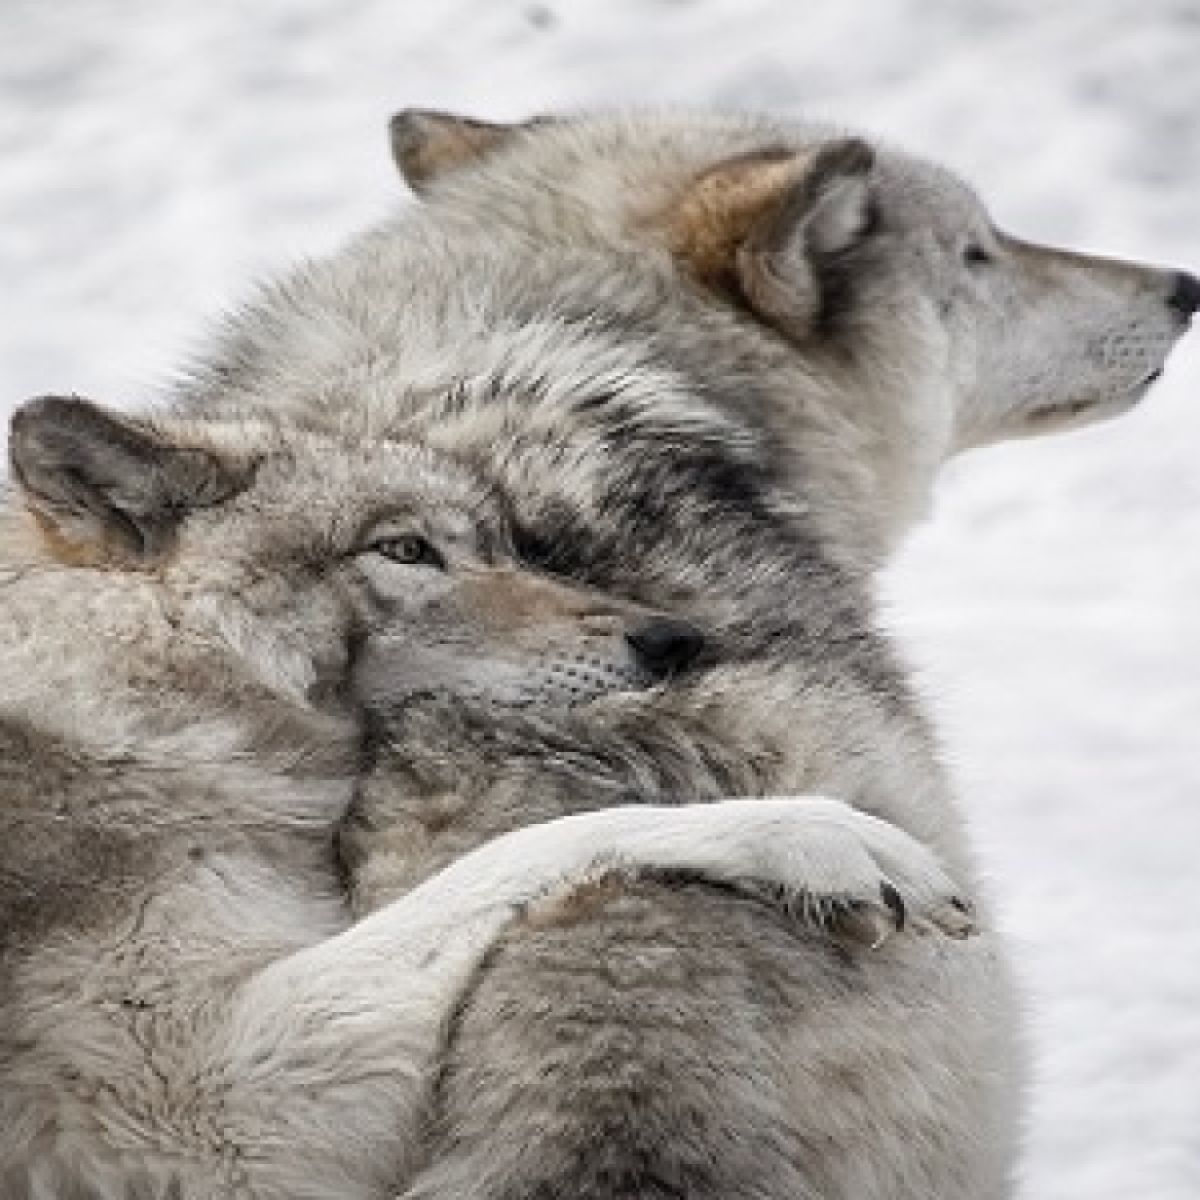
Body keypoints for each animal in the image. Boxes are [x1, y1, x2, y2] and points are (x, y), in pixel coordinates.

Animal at [0, 396, 971, 1199]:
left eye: (503, 545)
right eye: (405, 549)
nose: (675, 639)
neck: (127, 672)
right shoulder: (211, 1107)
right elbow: (547, 841)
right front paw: (824, 840)